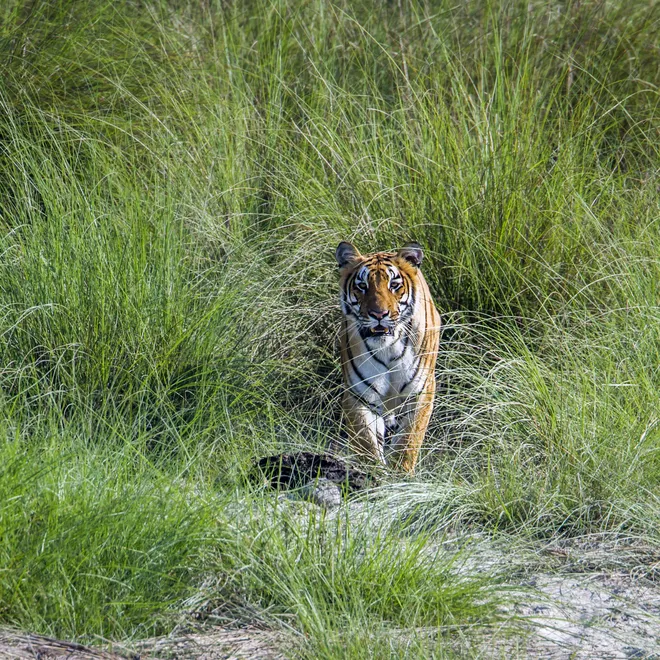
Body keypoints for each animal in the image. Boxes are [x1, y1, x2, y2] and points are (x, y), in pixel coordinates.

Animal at [335, 241, 441, 473]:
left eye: (394, 285)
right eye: (362, 286)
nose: (378, 315)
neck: (388, 348)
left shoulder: (420, 392)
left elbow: (408, 442)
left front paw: (401, 475)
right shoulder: (360, 395)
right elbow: (366, 443)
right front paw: (373, 474)